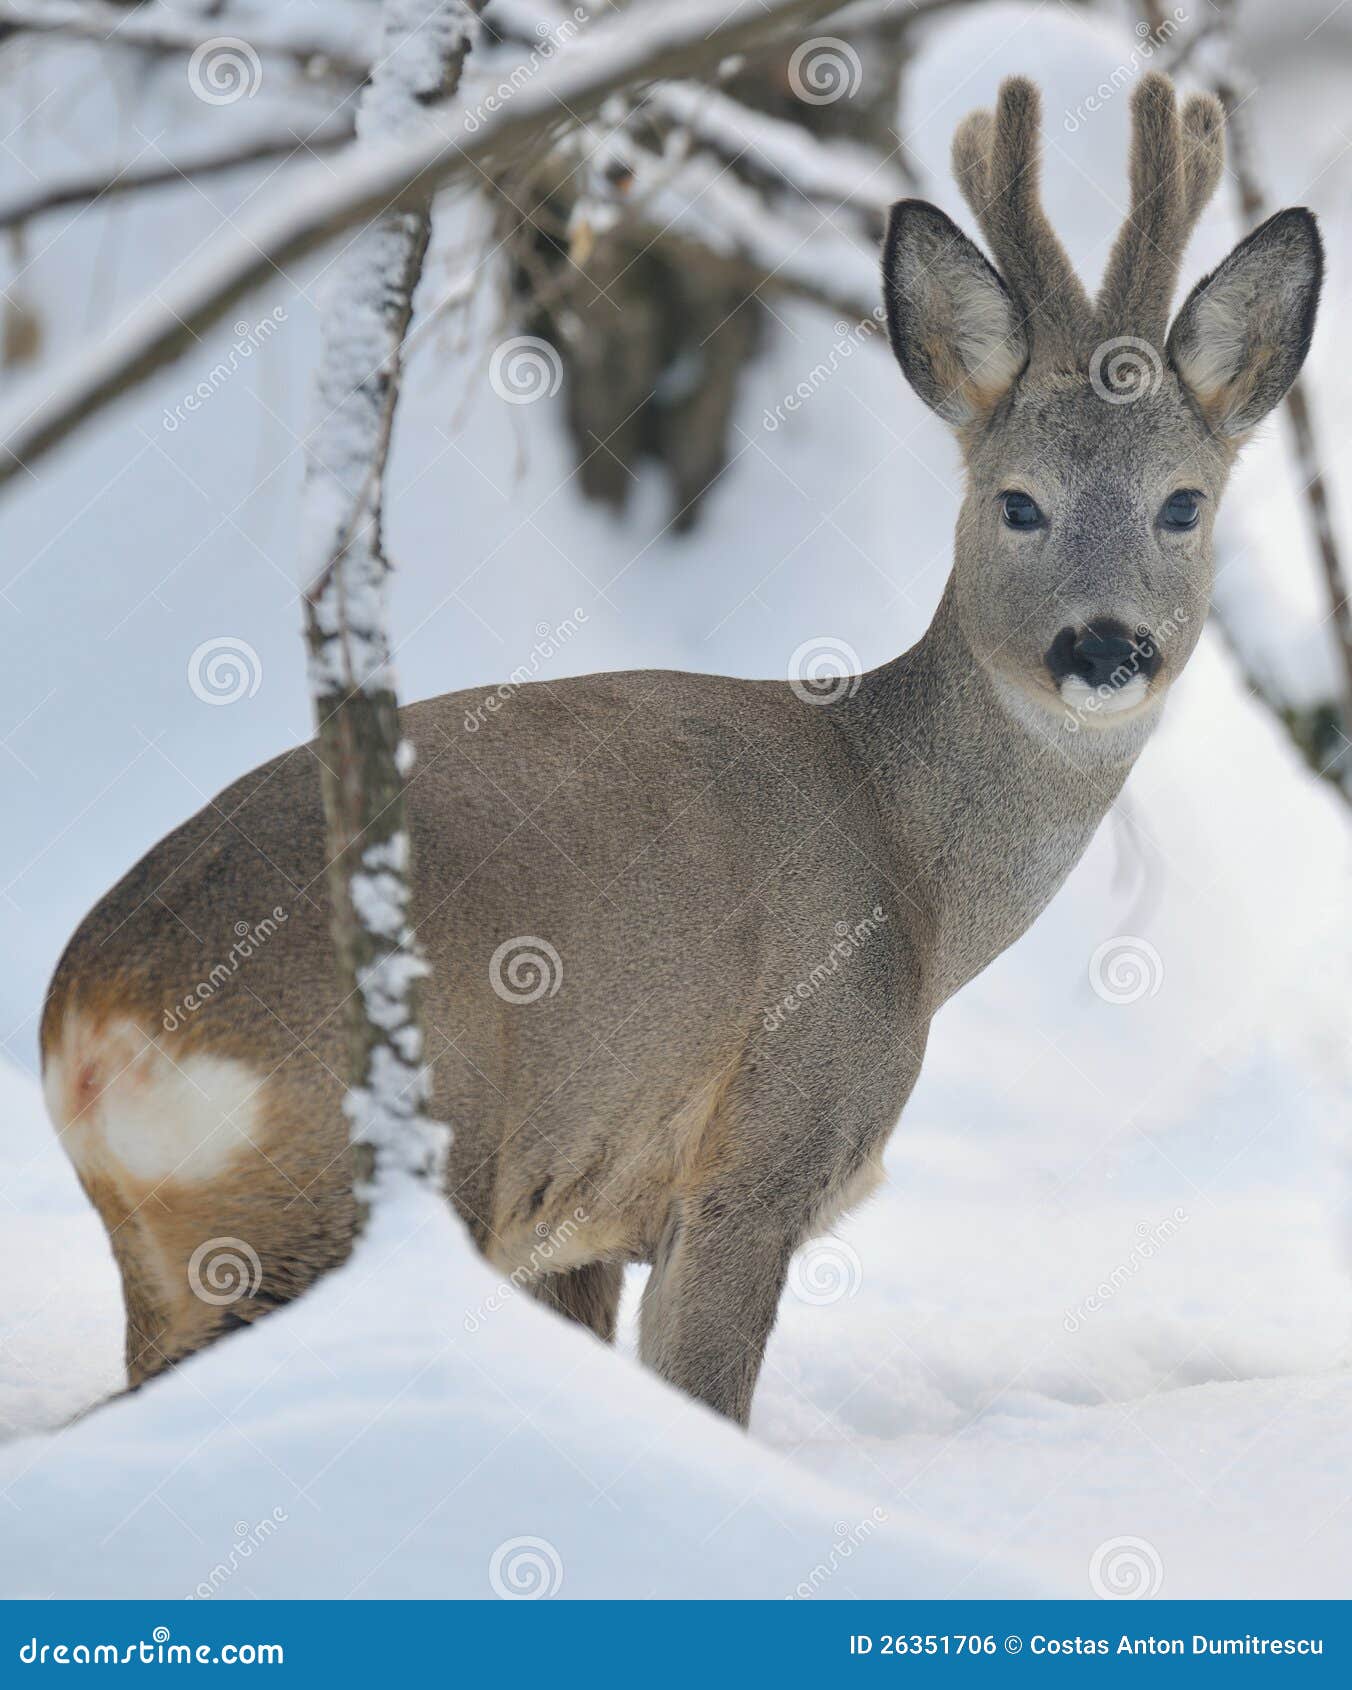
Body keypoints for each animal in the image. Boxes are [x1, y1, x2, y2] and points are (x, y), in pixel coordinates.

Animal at [42, 74, 1322, 1426]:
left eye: (1181, 502)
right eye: (1016, 500)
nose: (1104, 646)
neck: (915, 878)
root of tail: (96, 1016)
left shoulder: (584, 1219)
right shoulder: (759, 1155)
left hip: (190, 1248)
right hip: (352, 1184)